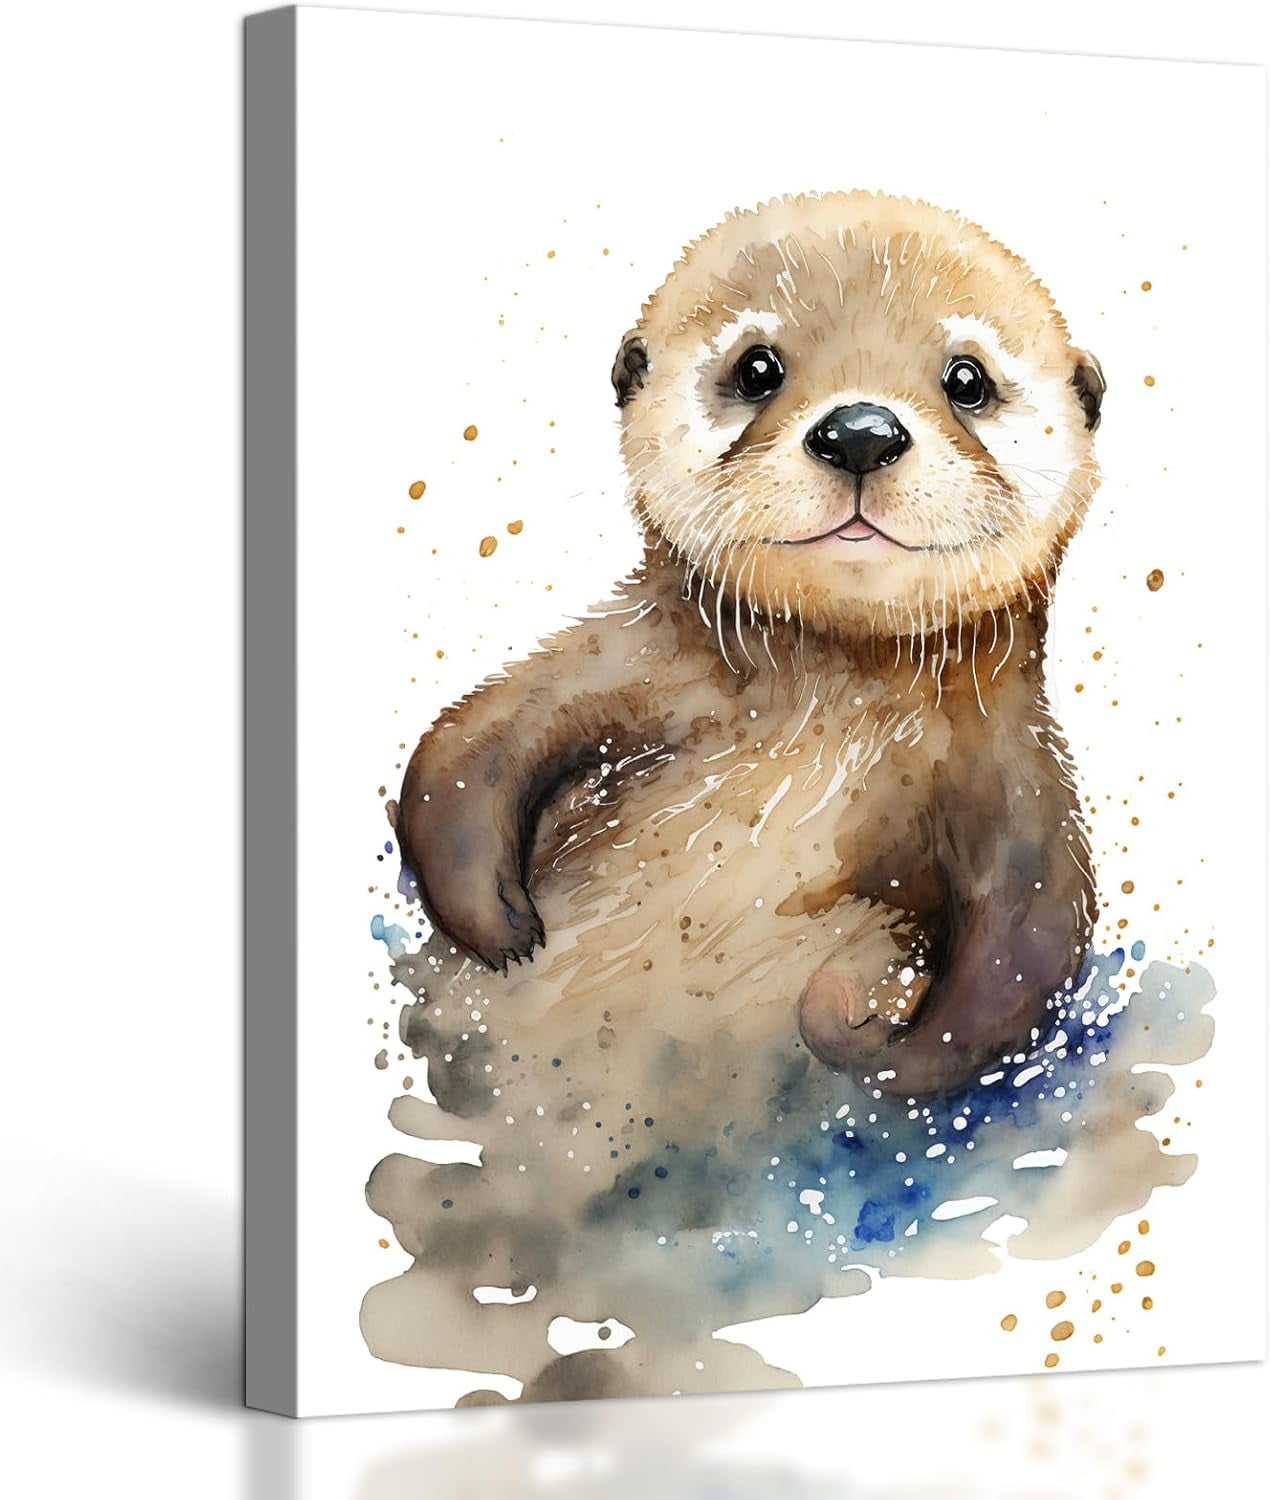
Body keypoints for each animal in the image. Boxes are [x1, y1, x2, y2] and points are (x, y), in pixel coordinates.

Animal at [395, 190, 1104, 1100]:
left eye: (967, 379)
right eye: (757, 368)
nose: (860, 431)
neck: (827, 718)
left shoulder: (1014, 781)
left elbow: (1025, 952)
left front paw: (866, 1037)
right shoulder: (623, 663)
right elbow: (472, 741)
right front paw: (505, 925)